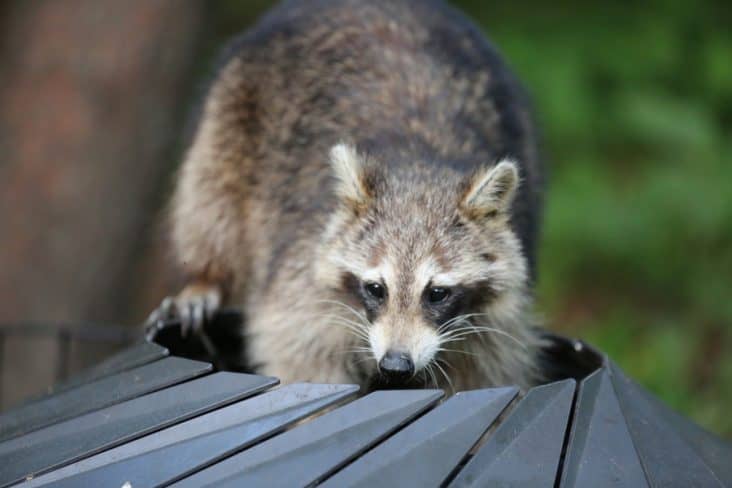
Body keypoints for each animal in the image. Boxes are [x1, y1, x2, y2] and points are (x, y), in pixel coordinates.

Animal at [148, 0, 545, 393]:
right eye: (376, 288)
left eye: (437, 293)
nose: (396, 364)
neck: (419, 166)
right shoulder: (303, 280)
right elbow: (301, 357)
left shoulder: (495, 328)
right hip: (230, 108)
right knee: (209, 197)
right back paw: (206, 274)